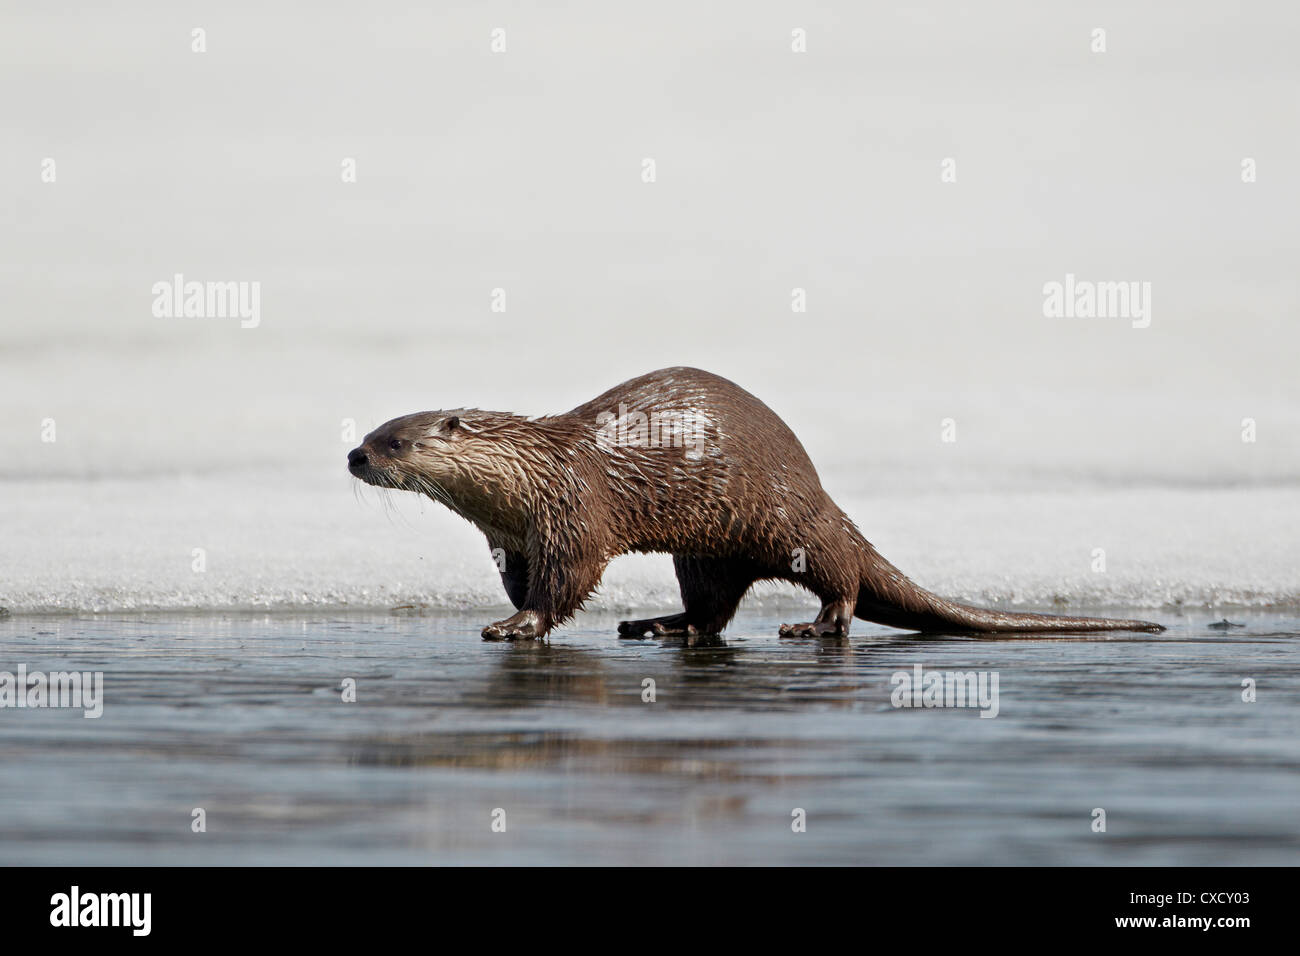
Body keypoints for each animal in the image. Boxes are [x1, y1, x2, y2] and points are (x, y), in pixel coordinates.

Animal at [348, 369, 1170, 639]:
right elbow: (528, 577)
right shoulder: (514, 535)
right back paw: (660, 624)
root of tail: (818, 487)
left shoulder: (574, 513)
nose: (354, 456)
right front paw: (516, 609)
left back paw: (816, 625)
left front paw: (517, 625)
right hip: (703, 548)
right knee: (711, 608)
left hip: (784, 519)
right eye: (368, 431)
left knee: (842, 573)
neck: (531, 477)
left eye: (395, 441)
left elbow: (565, 584)